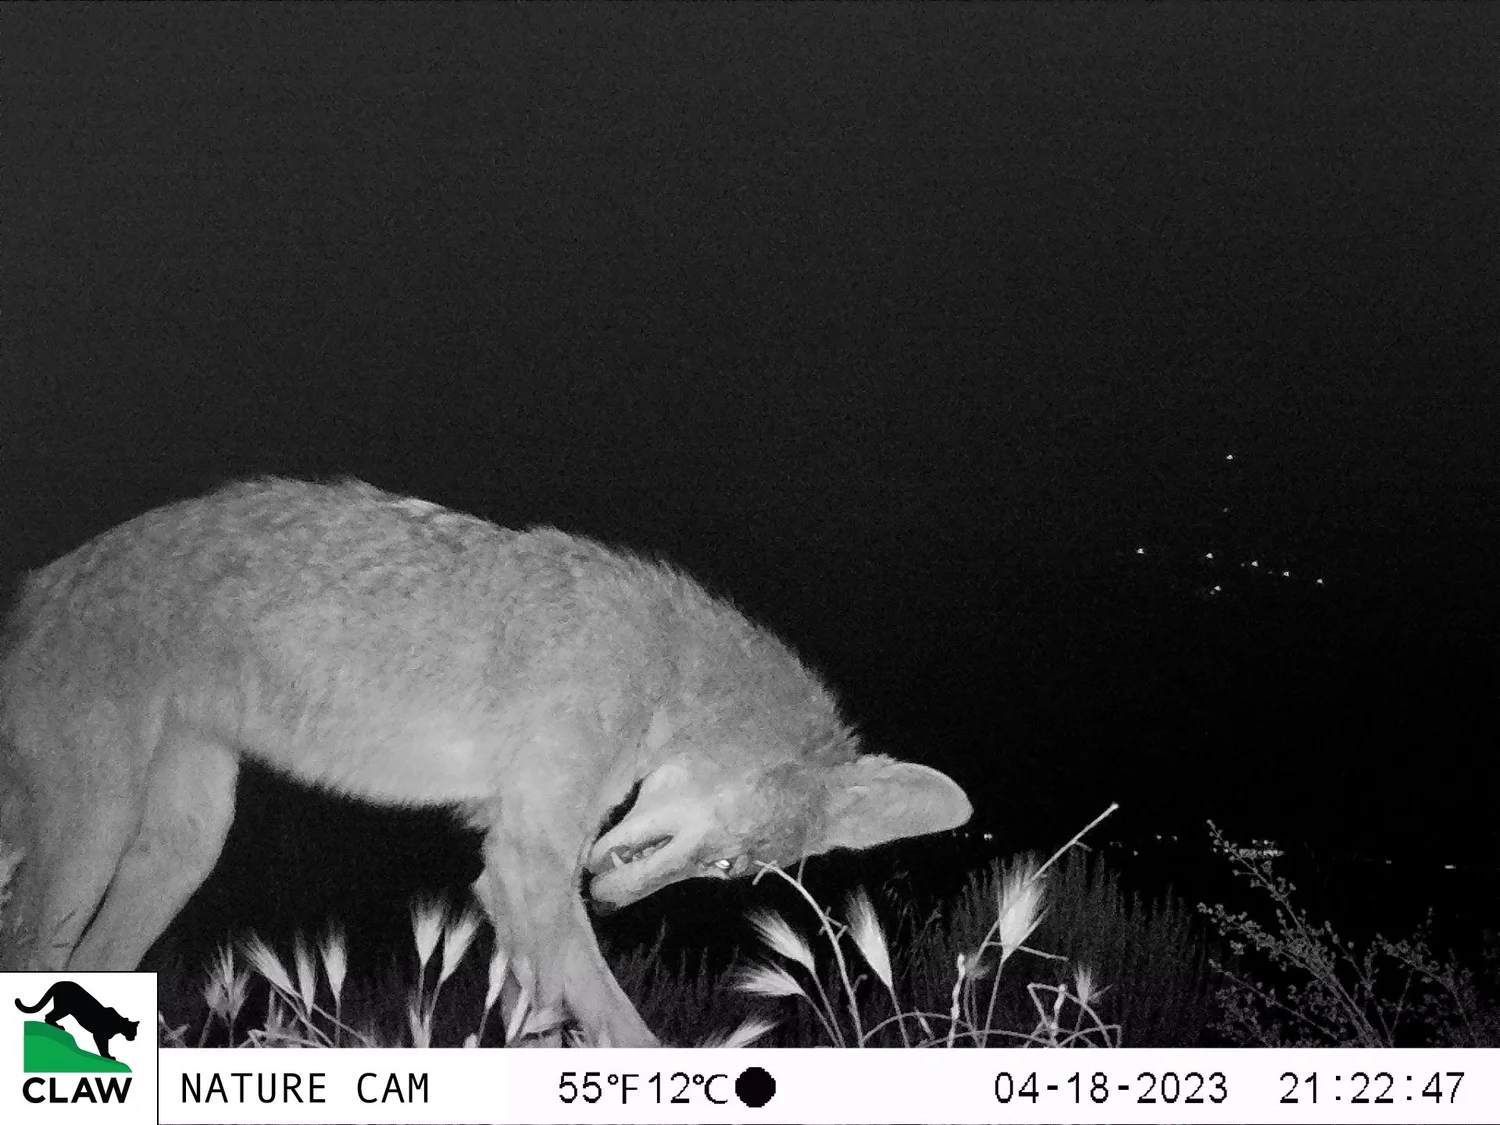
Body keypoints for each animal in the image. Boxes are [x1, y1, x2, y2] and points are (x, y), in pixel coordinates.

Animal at [0, 478, 971, 1046]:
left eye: (735, 872)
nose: (610, 902)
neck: (664, 665)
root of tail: (39, 583)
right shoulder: (525, 859)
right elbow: (629, 1030)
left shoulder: (512, 881)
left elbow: (547, 1015)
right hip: (93, 837)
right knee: (33, 951)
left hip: (181, 852)